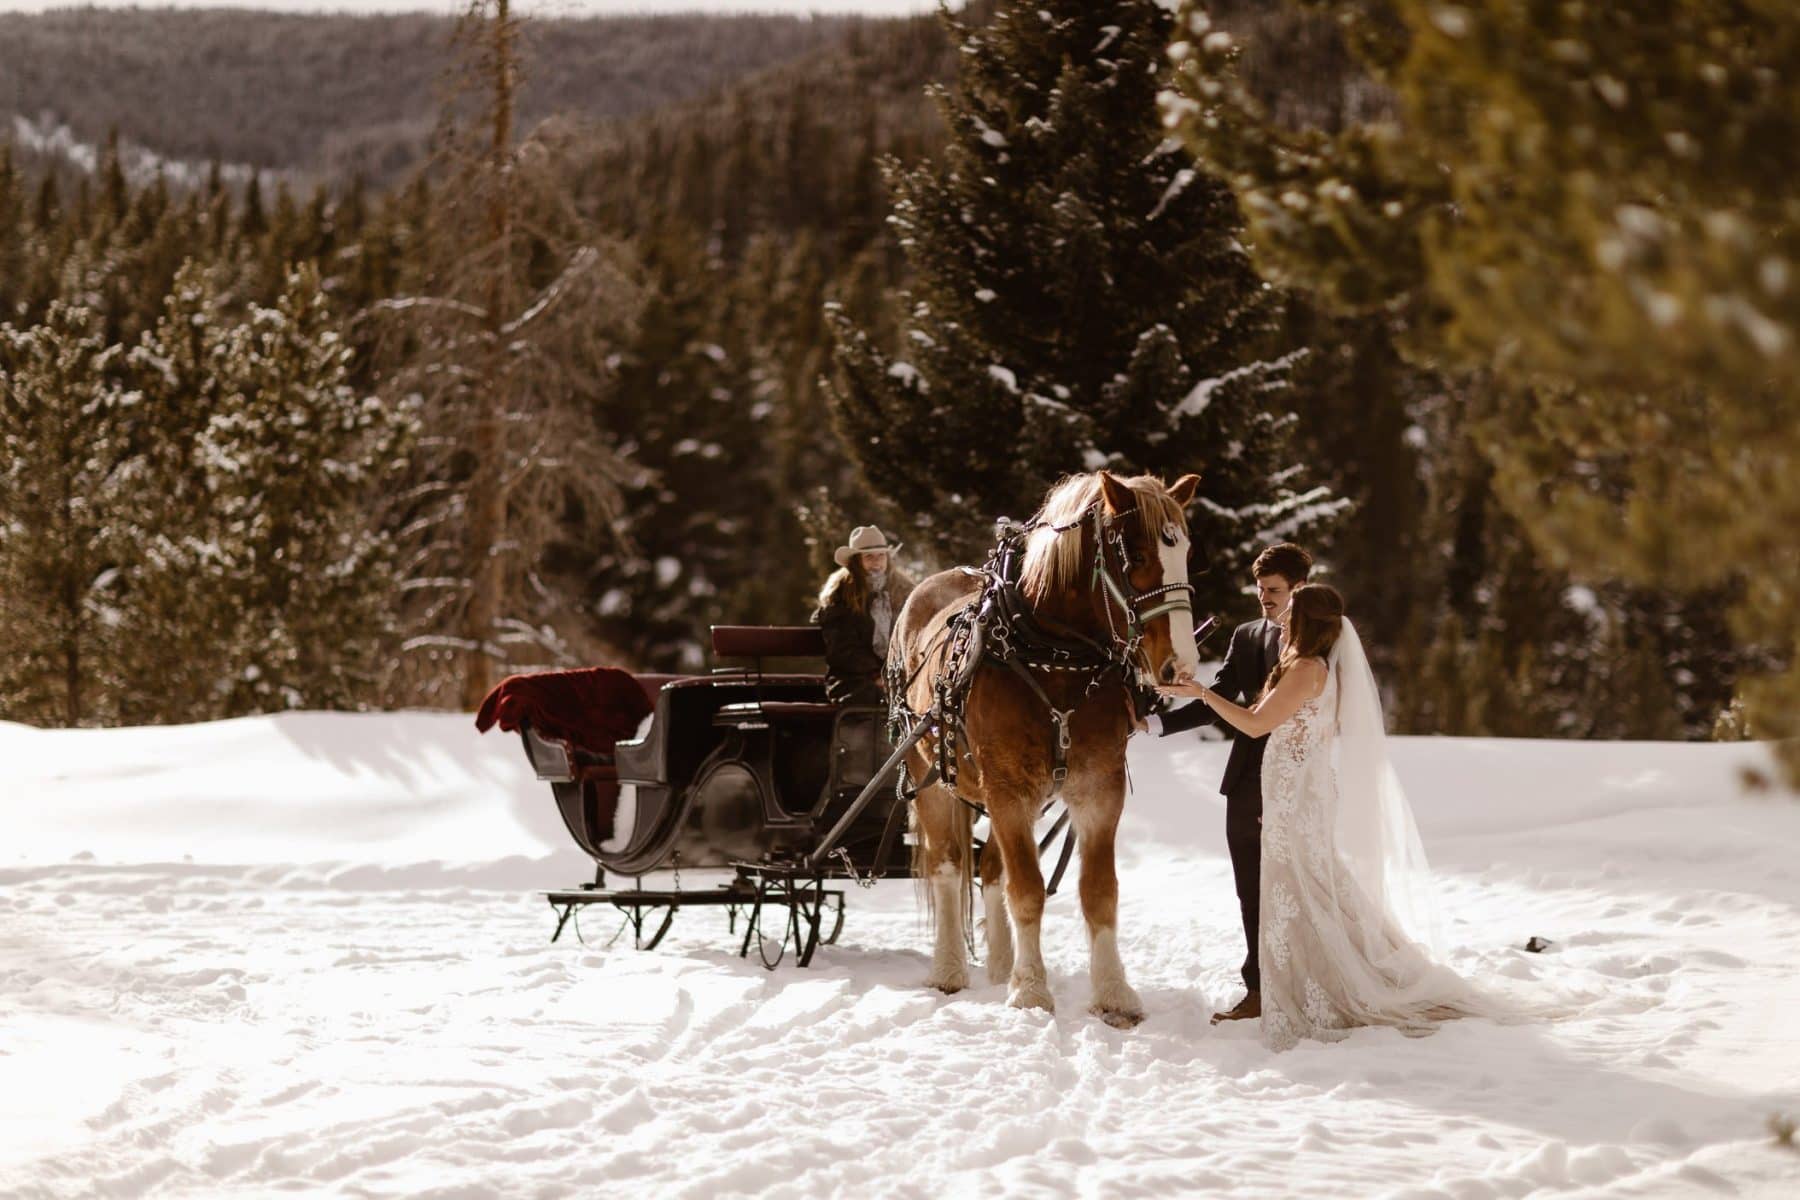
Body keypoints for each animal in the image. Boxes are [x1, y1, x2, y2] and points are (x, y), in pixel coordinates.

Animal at [890, 470, 1201, 1026]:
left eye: (1185, 548)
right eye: (1137, 554)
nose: (1180, 667)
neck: (1055, 656)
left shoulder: (1098, 790)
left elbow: (1098, 893)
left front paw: (1113, 993)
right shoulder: (1008, 790)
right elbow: (1029, 891)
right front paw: (1032, 992)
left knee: (991, 870)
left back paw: (1001, 965)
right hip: (929, 775)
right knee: (948, 866)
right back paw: (950, 968)